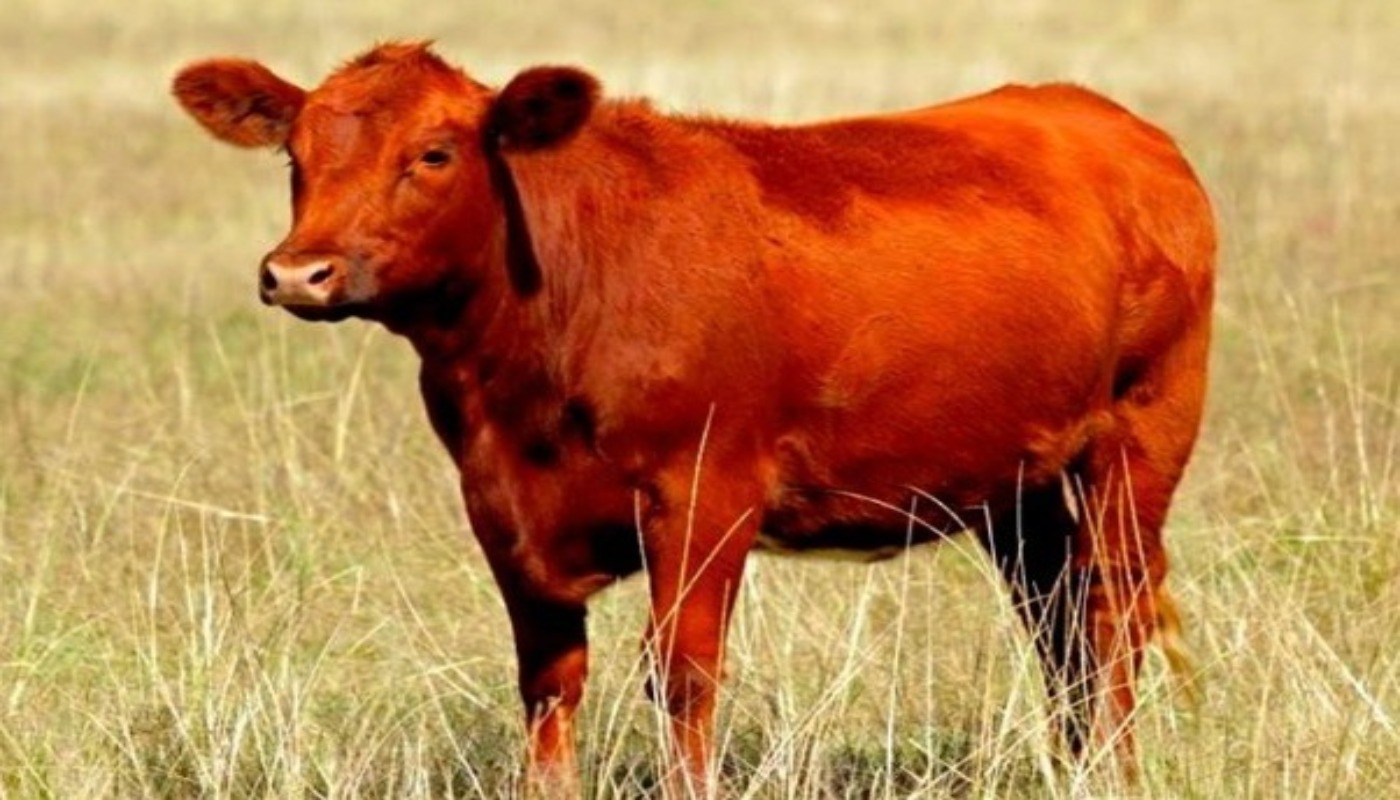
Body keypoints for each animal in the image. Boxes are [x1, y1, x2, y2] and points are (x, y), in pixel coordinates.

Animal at [172, 42, 1214, 795]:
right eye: (297, 155)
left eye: (431, 154)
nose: (299, 272)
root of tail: (1103, 119)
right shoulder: (500, 507)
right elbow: (548, 683)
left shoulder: (708, 492)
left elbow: (682, 673)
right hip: (1016, 485)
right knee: (1057, 620)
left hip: (1142, 435)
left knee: (1110, 605)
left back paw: (1117, 772)